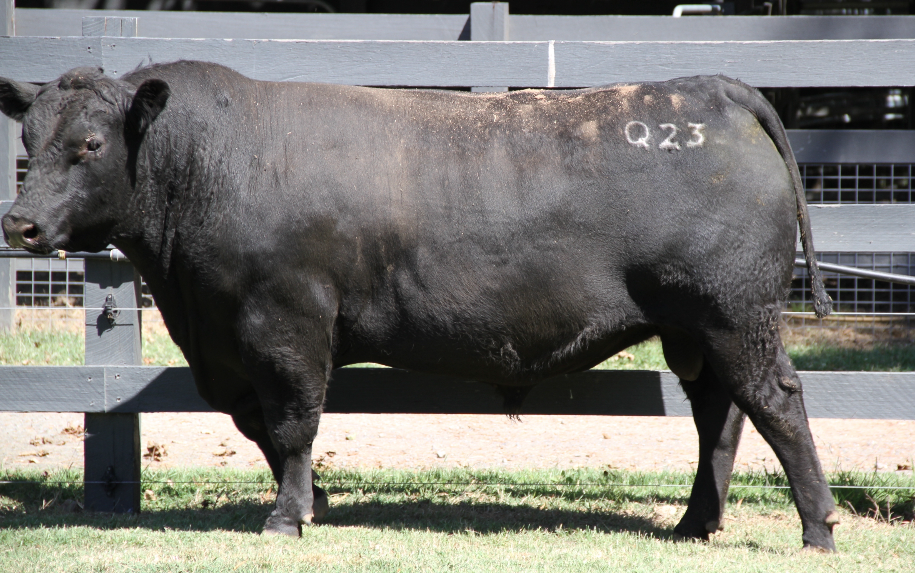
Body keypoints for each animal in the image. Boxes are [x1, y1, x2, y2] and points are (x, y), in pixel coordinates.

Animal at [0, 61, 838, 551]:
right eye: (30, 142)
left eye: (90, 145)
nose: (20, 224)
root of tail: (711, 87)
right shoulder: (230, 343)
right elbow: (264, 430)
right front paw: (314, 502)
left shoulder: (285, 323)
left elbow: (291, 422)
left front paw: (286, 517)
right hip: (693, 328)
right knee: (718, 414)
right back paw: (695, 523)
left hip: (733, 314)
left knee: (776, 401)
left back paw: (816, 526)